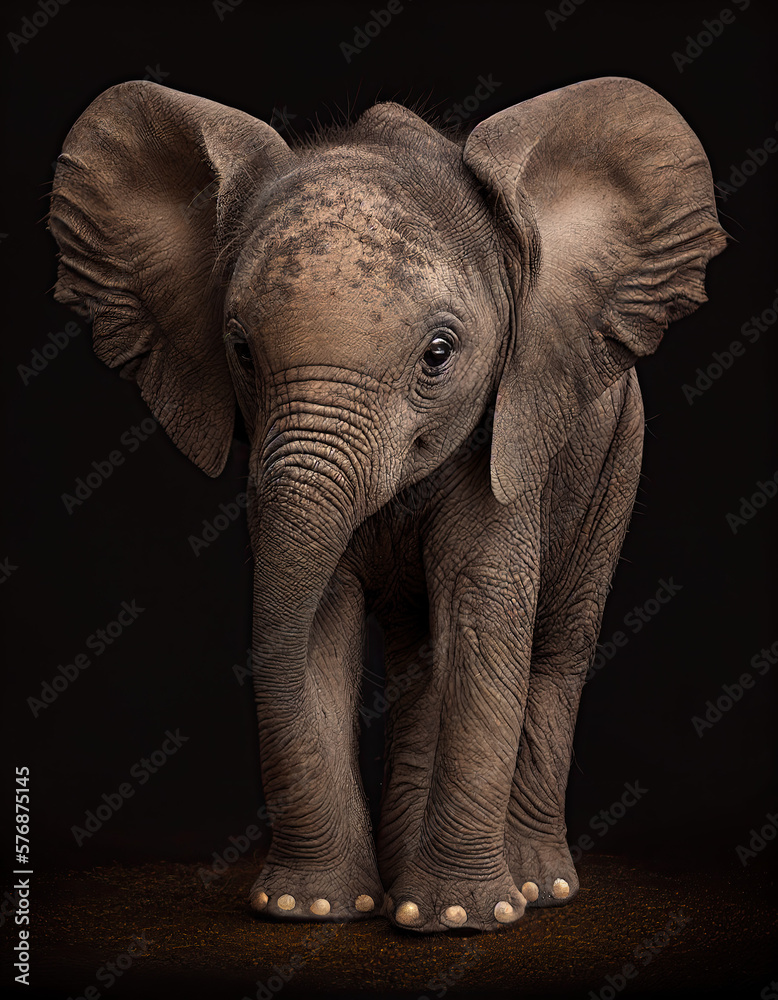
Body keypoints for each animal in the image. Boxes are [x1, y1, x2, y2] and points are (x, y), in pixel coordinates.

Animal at [49, 76, 725, 934]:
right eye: (240, 351)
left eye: (439, 354)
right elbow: (316, 622)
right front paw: (310, 908)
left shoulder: (504, 442)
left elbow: (483, 616)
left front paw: (462, 919)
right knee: (419, 657)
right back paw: (405, 885)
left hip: (614, 454)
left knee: (555, 648)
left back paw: (537, 888)